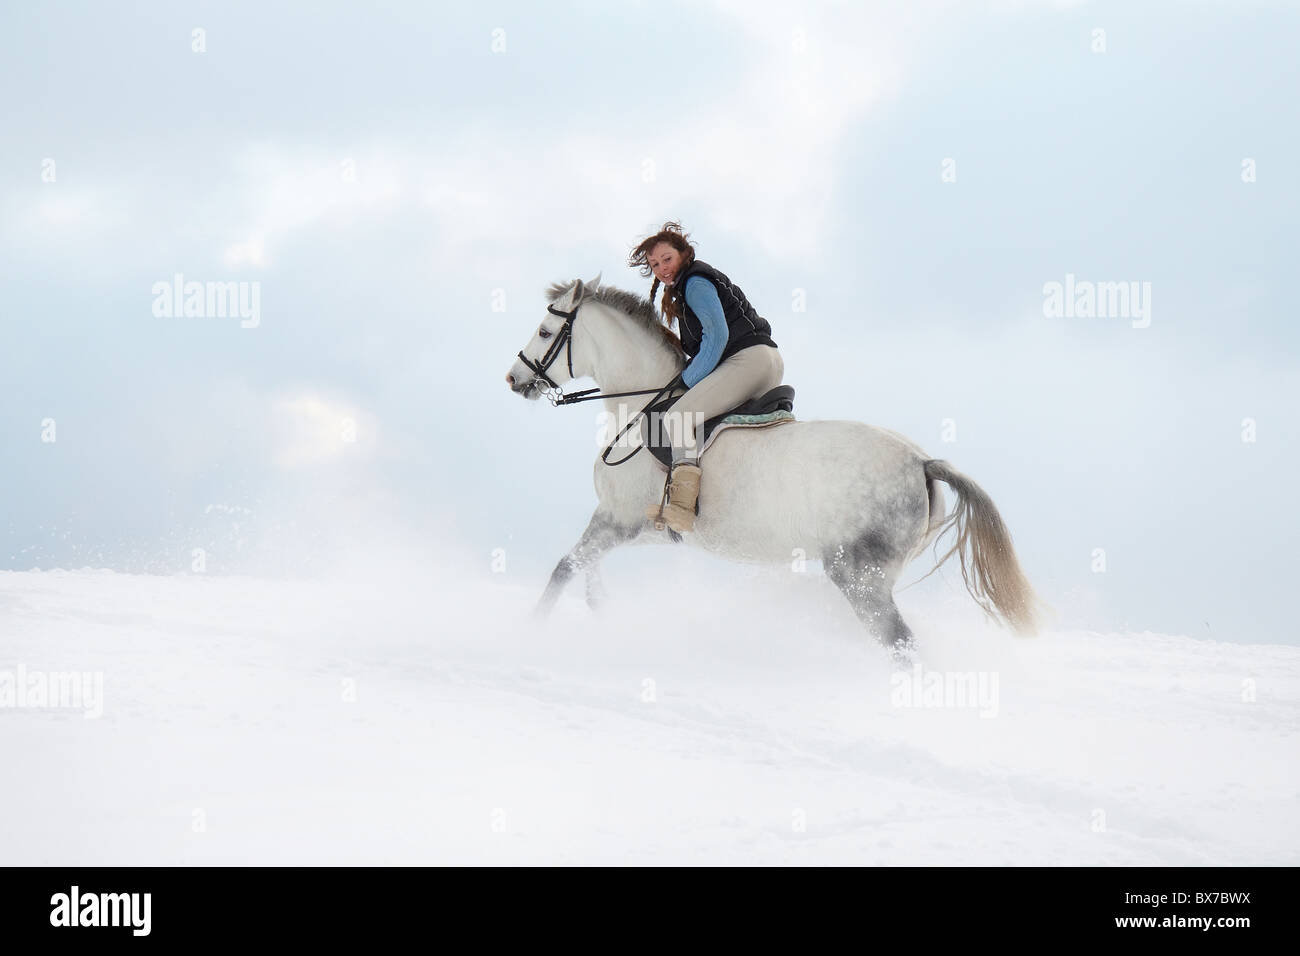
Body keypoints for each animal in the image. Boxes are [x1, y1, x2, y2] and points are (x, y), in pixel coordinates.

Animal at [505, 274, 1042, 653]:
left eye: (546, 331)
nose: (513, 378)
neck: (639, 408)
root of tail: (921, 462)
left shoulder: (620, 519)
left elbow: (564, 567)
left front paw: (533, 631)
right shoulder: (640, 528)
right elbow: (585, 567)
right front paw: (601, 612)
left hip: (859, 576)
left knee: (900, 643)